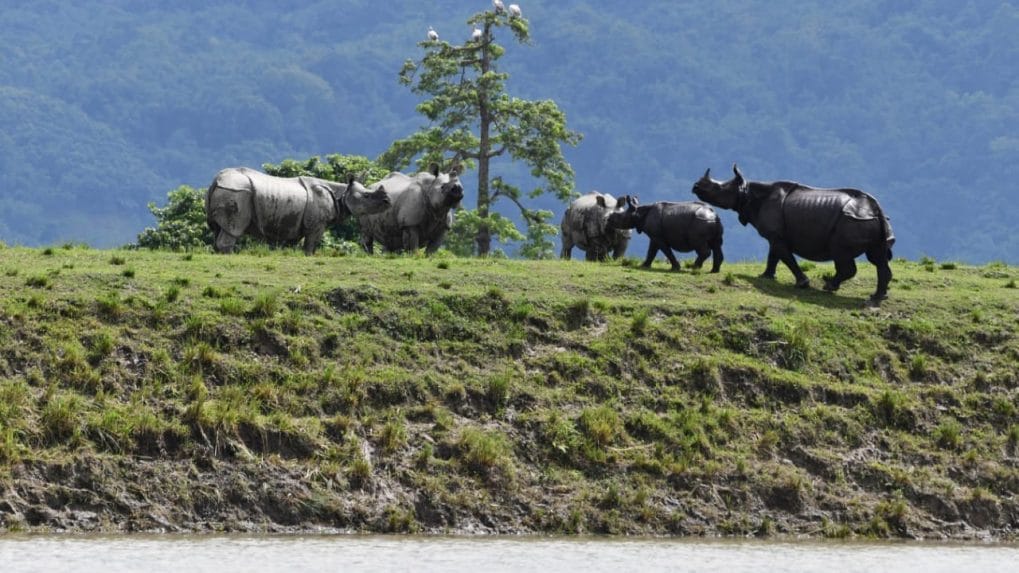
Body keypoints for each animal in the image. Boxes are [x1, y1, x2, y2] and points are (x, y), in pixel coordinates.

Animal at [205, 167, 390, 255]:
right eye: (367, 196)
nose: (387, 201)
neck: (342, 194)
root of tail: (216, 180)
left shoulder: (291, 223)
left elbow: (291, 243)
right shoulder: (317, 225)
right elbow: (311, 246)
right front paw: (309, 256)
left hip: (229, 190)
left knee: (219, 229)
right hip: (237, 192)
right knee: (234, 228)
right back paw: (230, 254)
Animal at [692, 164, 895, 302]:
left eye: (719, 188)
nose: (695, 186)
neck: (748, 193)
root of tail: (876, 208)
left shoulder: (777, 235)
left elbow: (785, 257)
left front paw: (802, 284)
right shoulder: (775, 235)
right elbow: (773, 255)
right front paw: (766, 276)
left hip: (852, 220)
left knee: (841, 253)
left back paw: (829, 286)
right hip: (870, 222)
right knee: (877, 257)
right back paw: (878, 296)